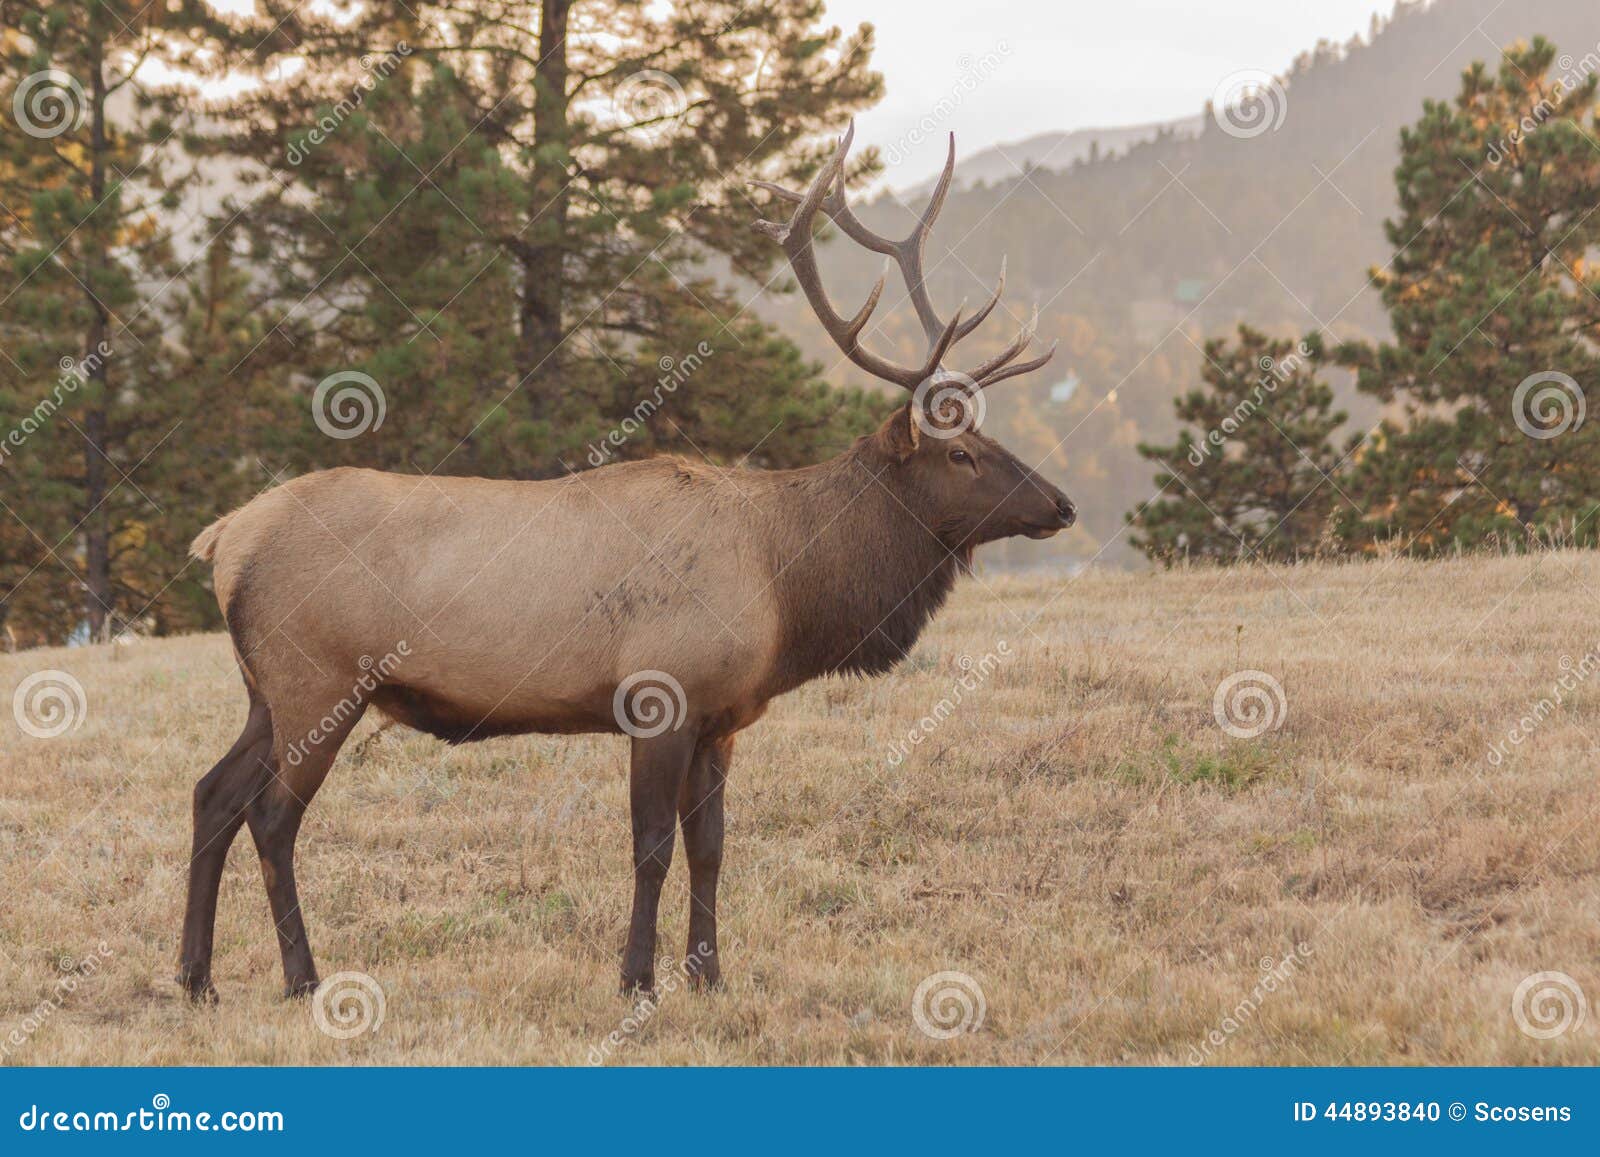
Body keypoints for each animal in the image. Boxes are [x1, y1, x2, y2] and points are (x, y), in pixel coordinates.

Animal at [177, 123, 1076, 1003]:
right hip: (319, 679)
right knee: (271, 817)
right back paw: (301, 978)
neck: (785, 586)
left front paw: (709, 974)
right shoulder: (660, 694)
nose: (1063, 504)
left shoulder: (723, 717)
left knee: (212, 793)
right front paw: (638, 979)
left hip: (267, 689)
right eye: (959, 452)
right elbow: (651, 845)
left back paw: (196, 977)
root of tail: (223, 538)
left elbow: (711, 845)